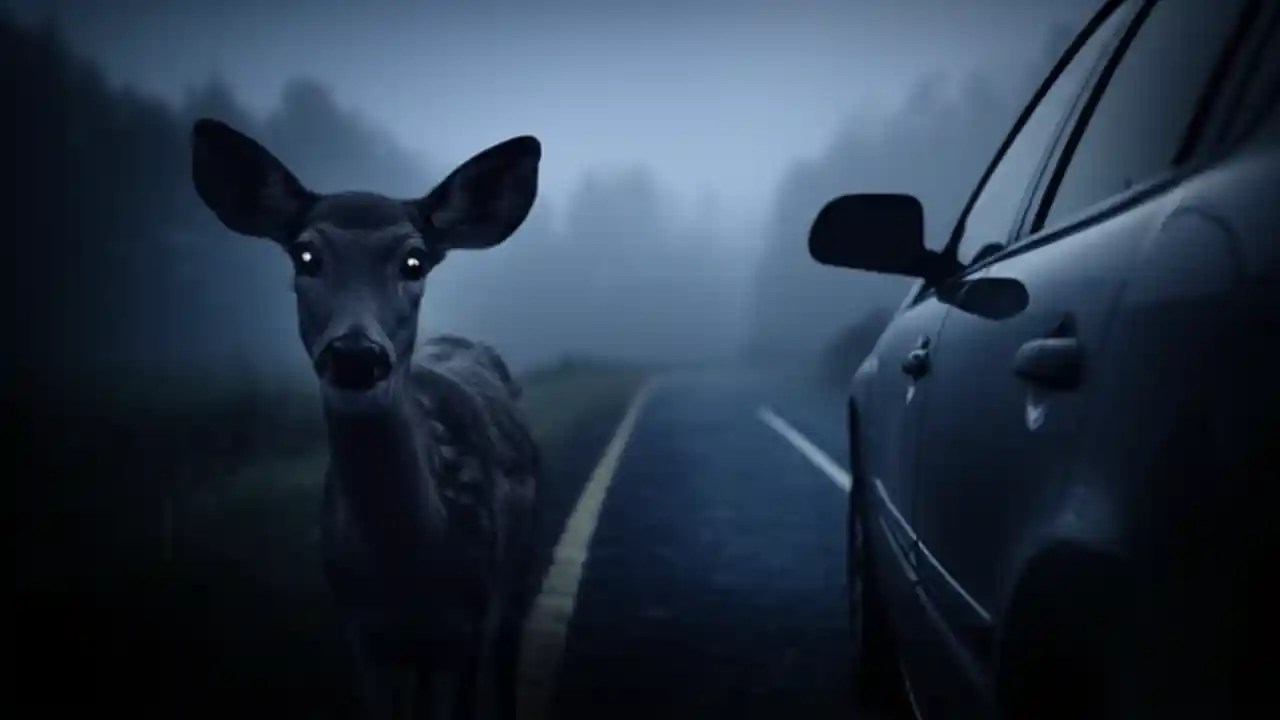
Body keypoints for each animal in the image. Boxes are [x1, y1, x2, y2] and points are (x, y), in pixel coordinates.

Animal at [189, 118, 542, 720]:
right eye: (306, 255)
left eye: (414, 260)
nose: (355, 354)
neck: (405, 568)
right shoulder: (361, 632)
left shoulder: (471, 619)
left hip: (516, 580)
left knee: (505, 667)